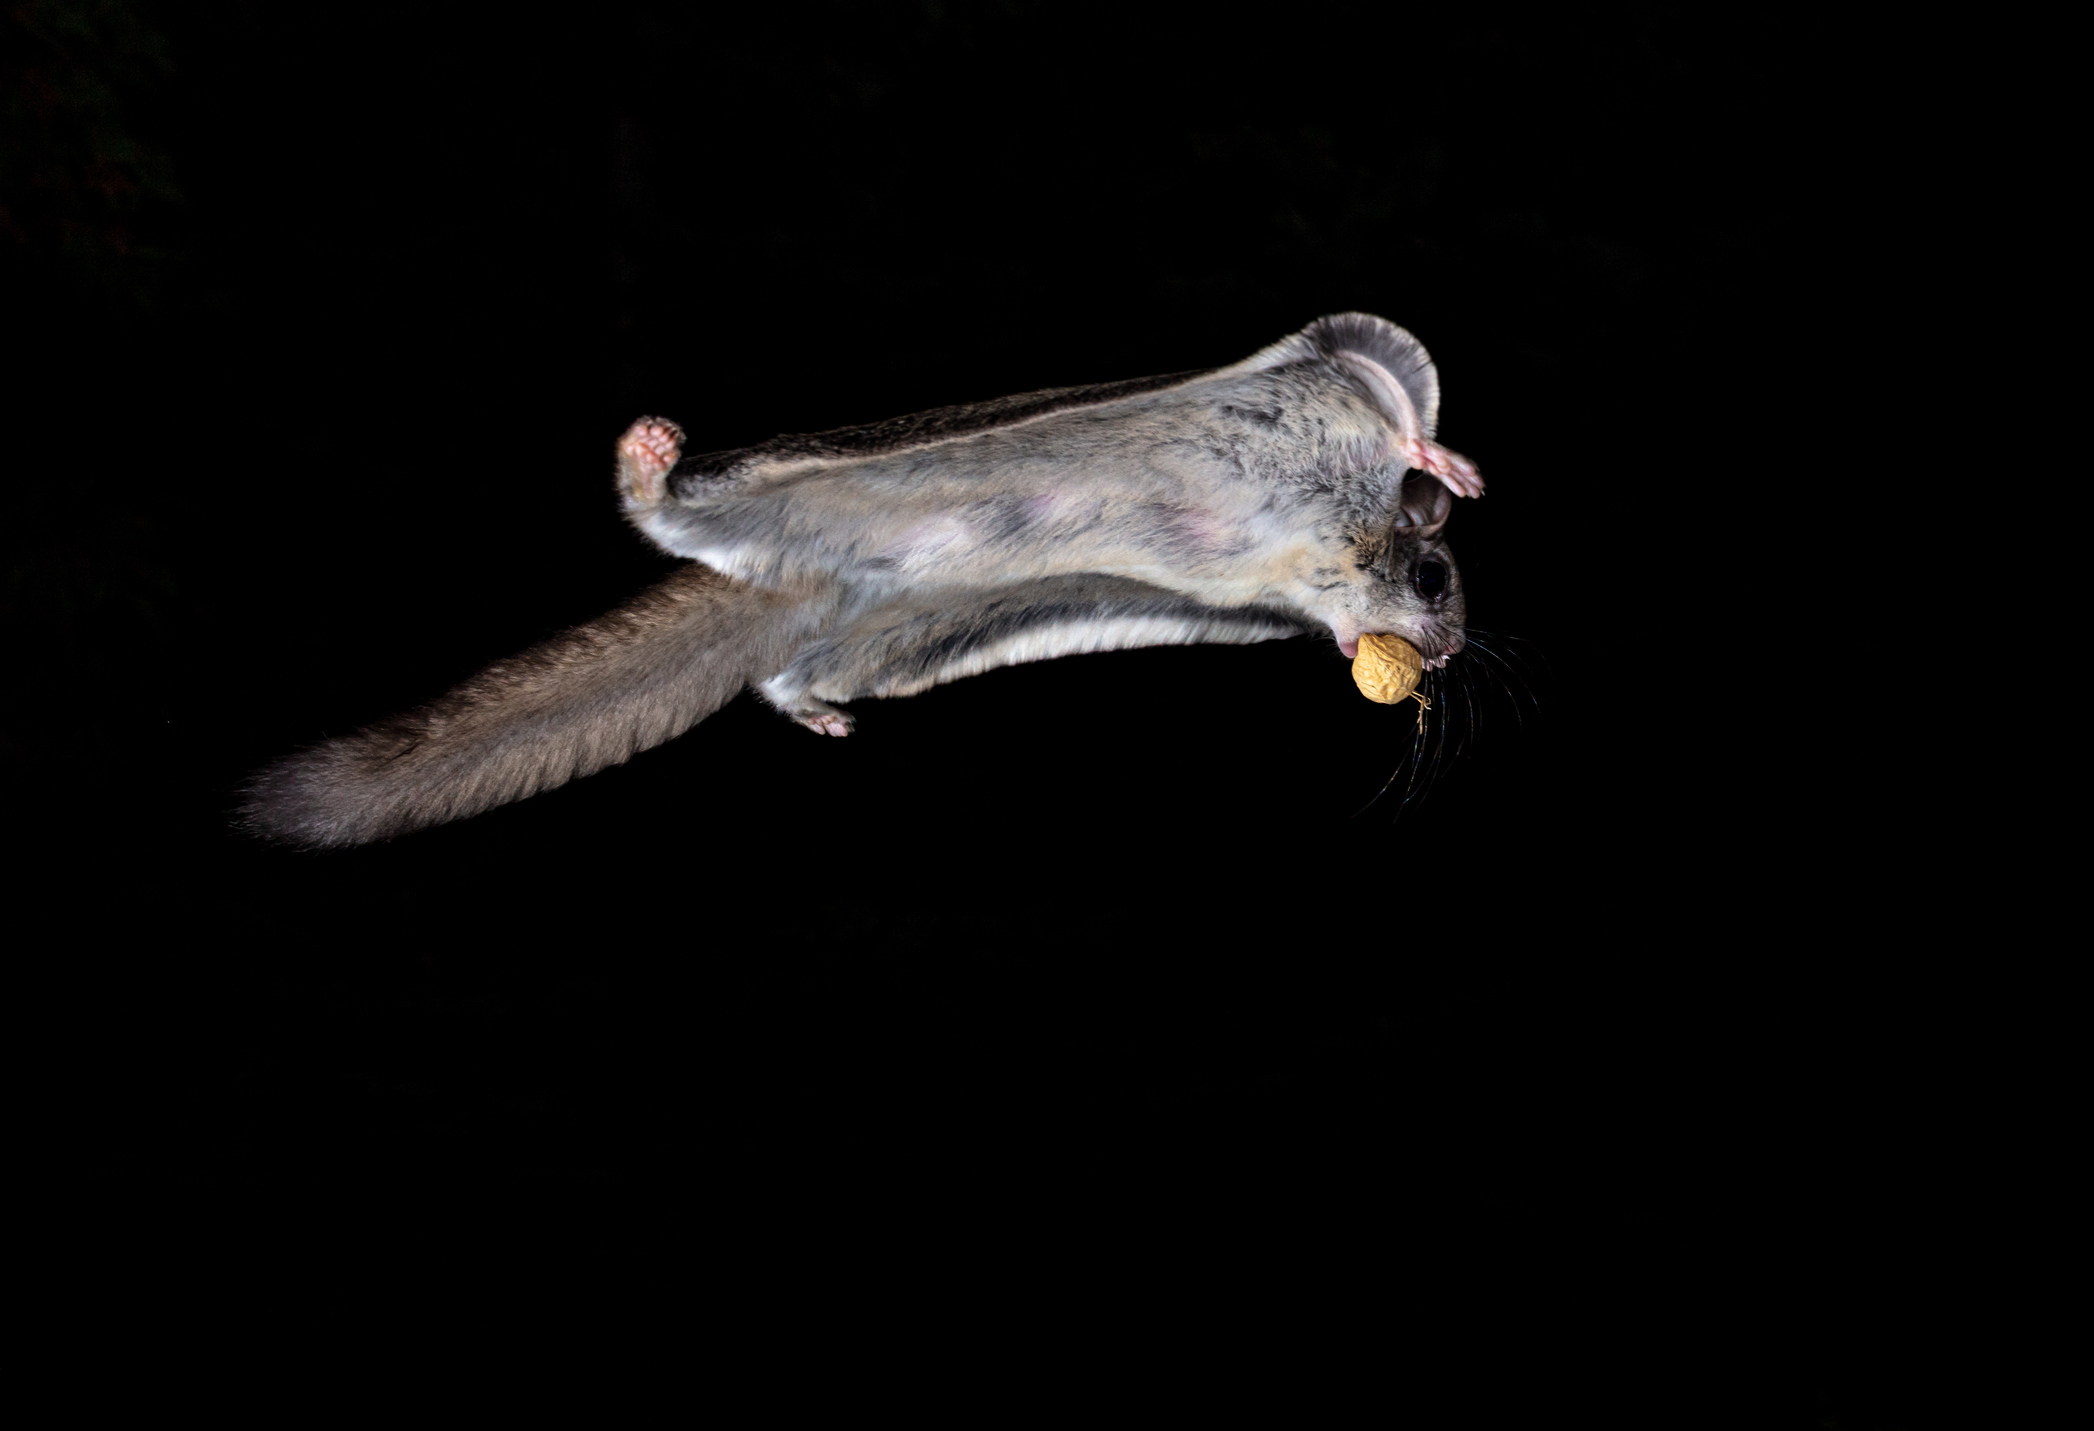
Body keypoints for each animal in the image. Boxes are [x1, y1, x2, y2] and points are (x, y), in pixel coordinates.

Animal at [242, 313, 1480, 847]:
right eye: (1433, 578)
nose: (1451, 652)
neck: (1313, 554)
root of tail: (814, 575)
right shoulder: (1326, 381)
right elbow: (1389, 392)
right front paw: (1437, 459)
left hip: (914, 629)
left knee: (798, 676)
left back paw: (813, 709)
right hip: (783, 491)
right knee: (674, 517)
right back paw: (650, 466)